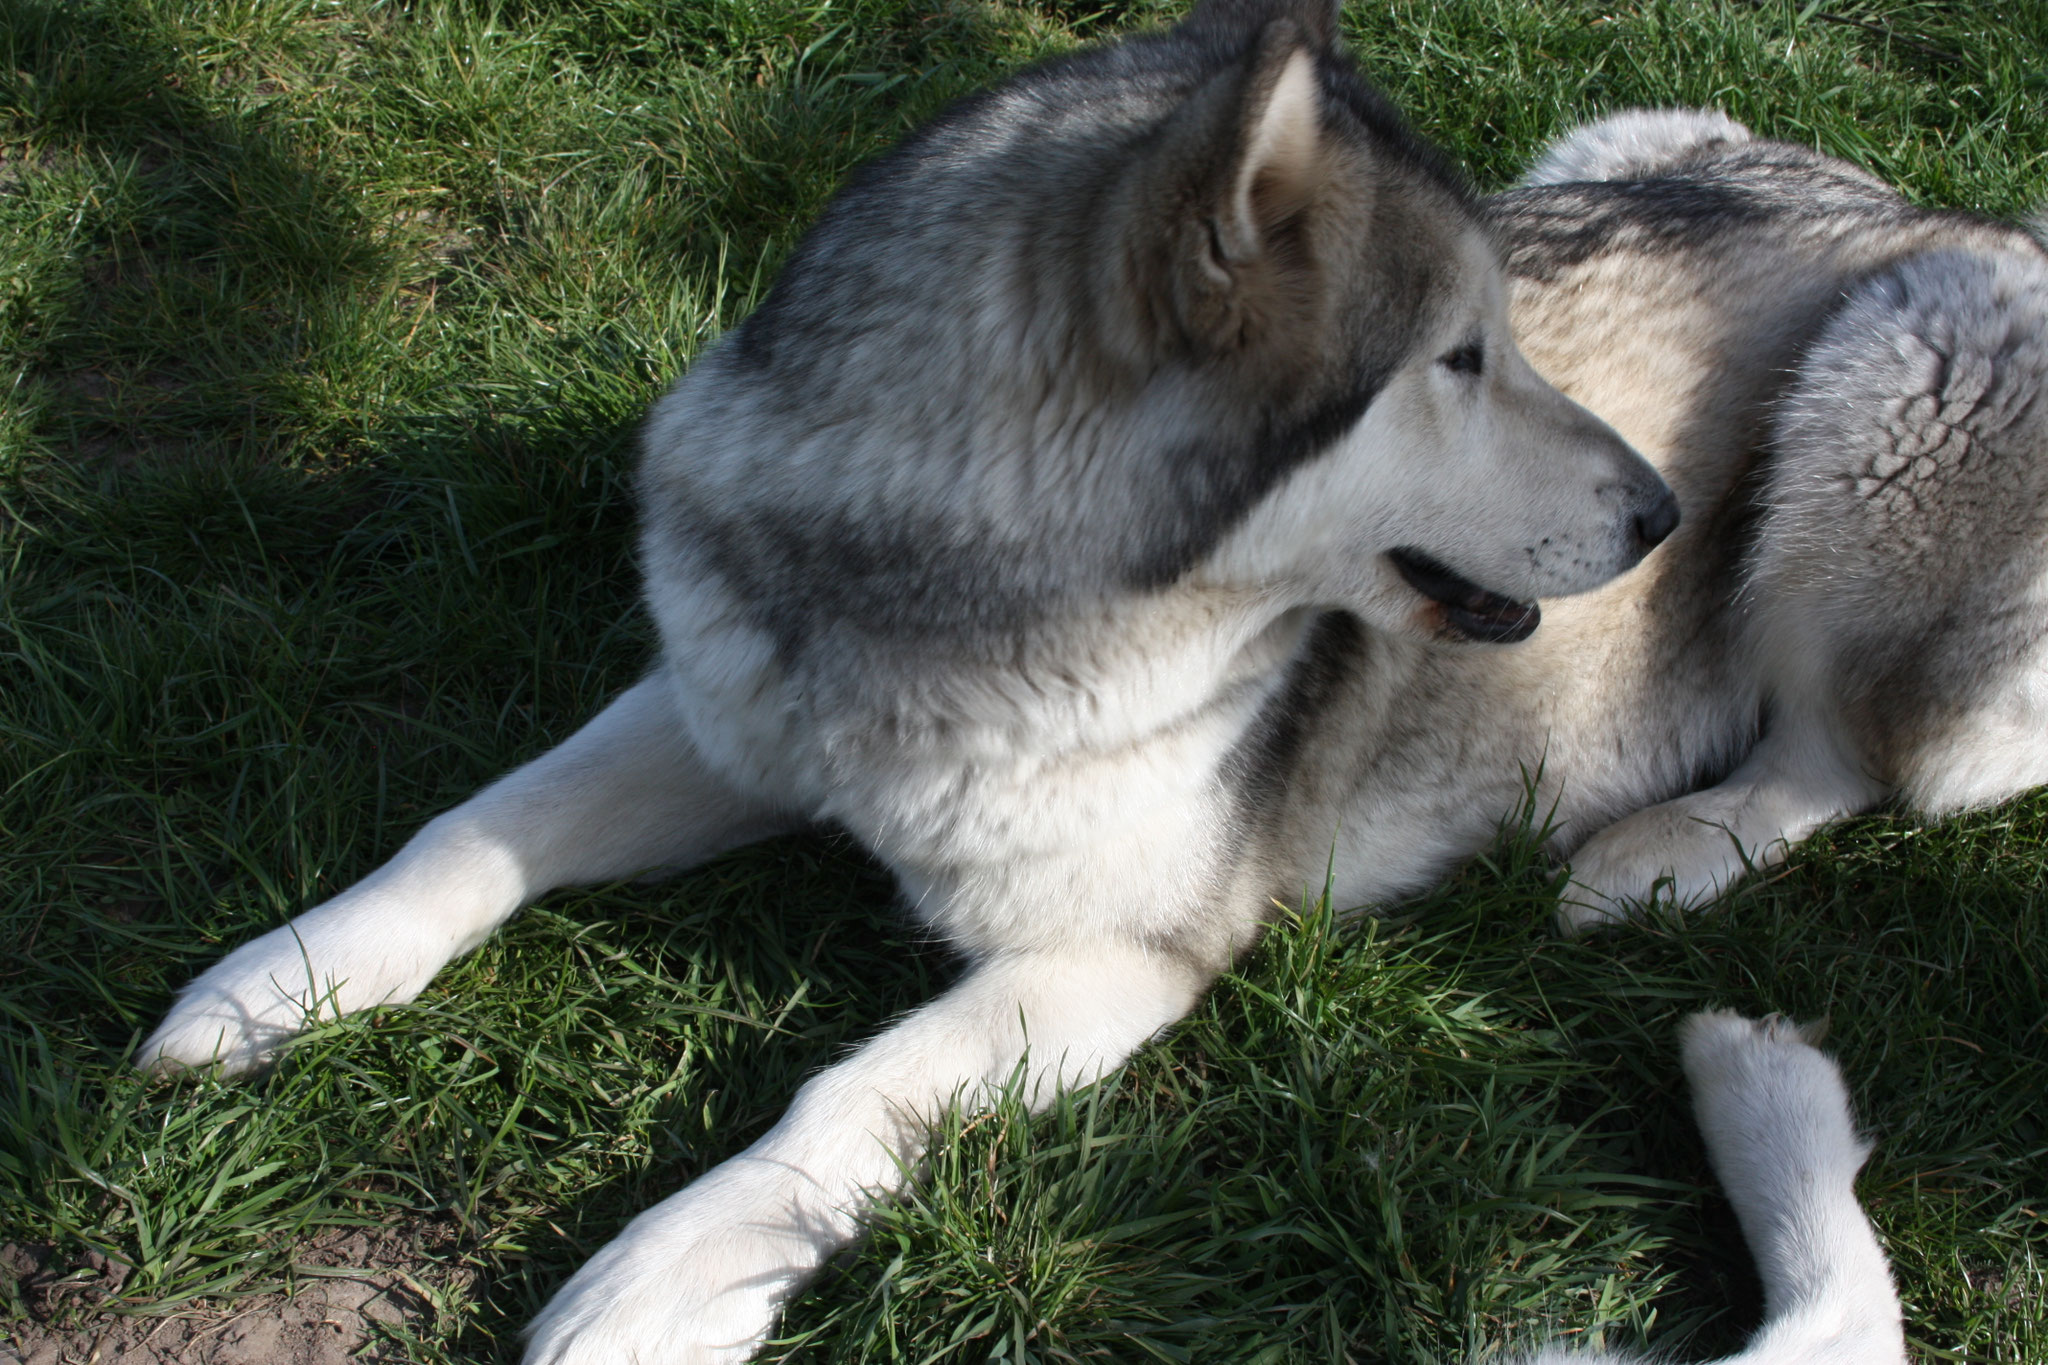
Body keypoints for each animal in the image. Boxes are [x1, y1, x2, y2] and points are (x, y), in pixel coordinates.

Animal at [134, 0, 2048, 1357]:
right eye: (1460, 357)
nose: (1660, 514)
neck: (977, 612)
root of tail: (1925, 196)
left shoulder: (1122, 949)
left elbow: (843, 1097)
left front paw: (660, 1282)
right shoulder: (724, 713)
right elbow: (472, 829)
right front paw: (282, 977)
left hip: (1894, 381)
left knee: (1844, 757)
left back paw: (1662, 864)